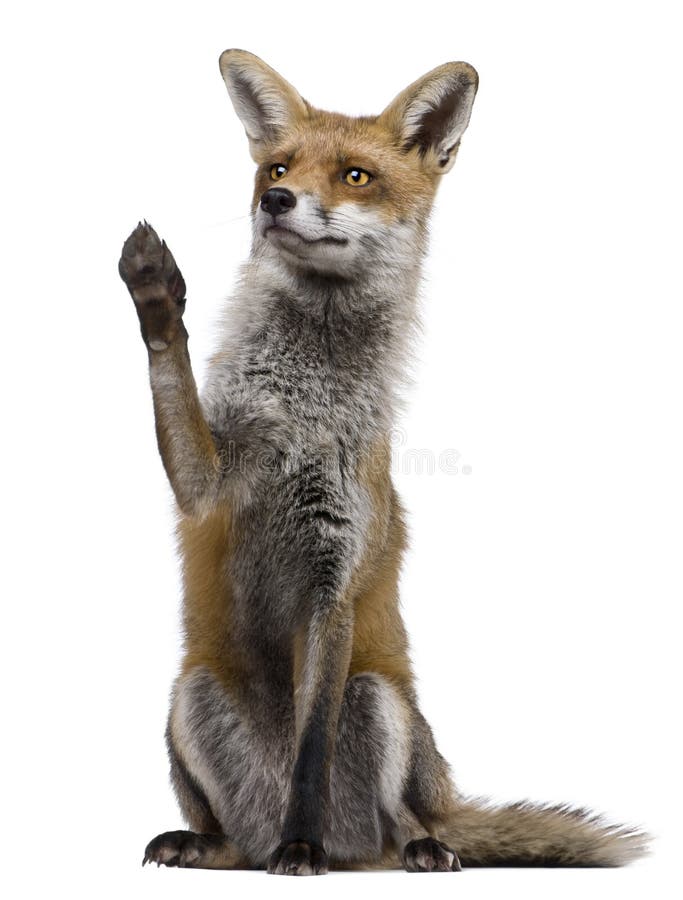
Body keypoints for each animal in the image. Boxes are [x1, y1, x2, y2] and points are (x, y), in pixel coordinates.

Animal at [118, 49, 648, 875]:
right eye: (276, 165)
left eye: (355, 176)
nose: (275, 201)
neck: (305, 407)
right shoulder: (206, 483)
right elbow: (171, 376)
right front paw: (154, 294)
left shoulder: (334, 581)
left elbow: (311, 750)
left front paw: (298, 847)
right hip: (191, 695)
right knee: (232, 838)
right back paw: (210, 841)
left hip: (381, 702)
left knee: (400, 825)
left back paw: (403, 848)